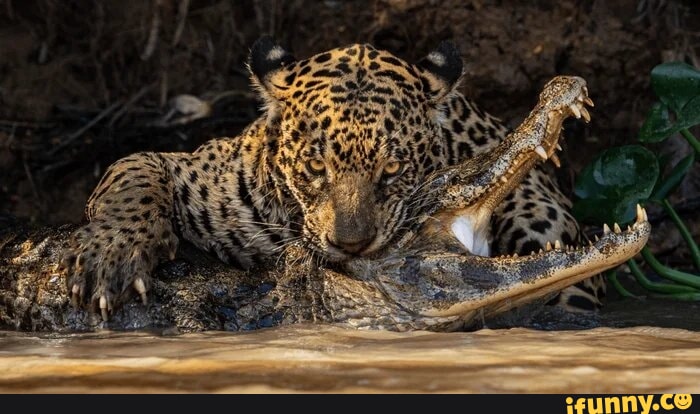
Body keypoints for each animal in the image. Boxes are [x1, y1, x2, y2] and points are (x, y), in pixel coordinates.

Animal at [59, 36, 604, 320]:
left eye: (392, 169)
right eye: (316, 167)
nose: (352, 245)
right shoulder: (192, 169)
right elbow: (134, 176)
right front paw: (111, 258)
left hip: (540, 214)